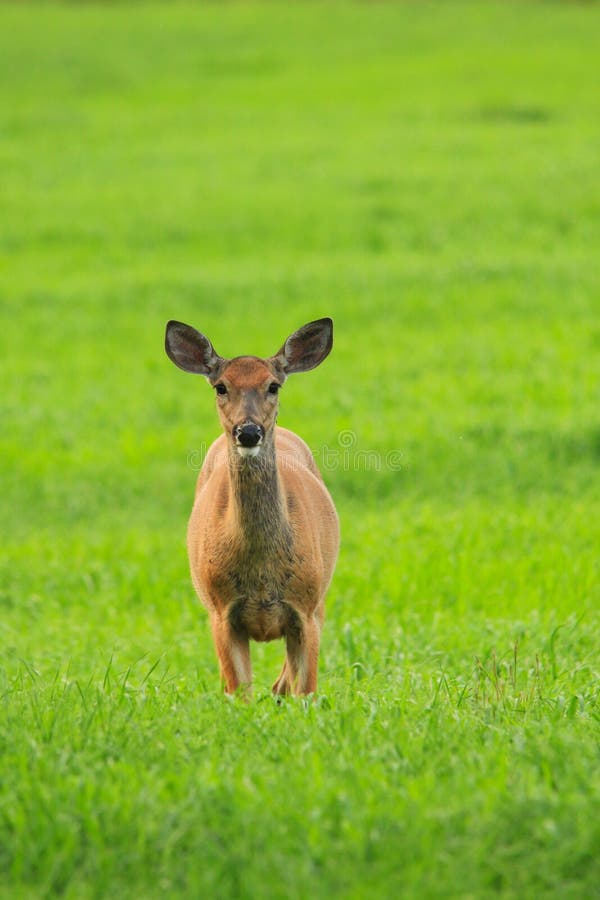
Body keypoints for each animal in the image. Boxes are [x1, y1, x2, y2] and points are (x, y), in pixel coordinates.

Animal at [165, 317, 339, 697]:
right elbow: (239, 692)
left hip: (321, 597)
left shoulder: (306, 609)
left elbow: (306, 691)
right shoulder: (221, 613)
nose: (248, 431)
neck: (261, 572)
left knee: (282, 683)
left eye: (273, 385)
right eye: (220, 387)